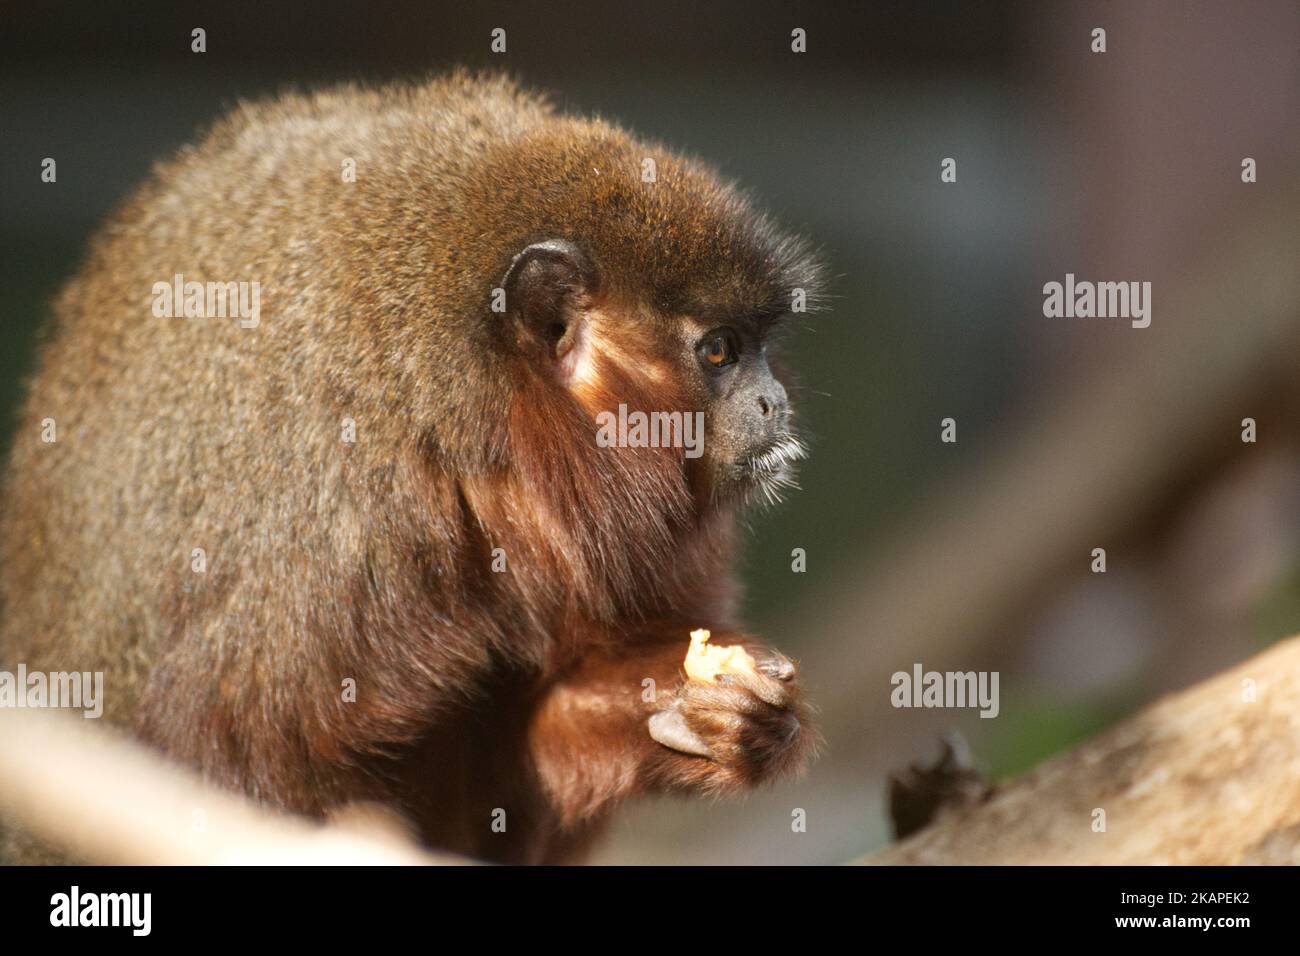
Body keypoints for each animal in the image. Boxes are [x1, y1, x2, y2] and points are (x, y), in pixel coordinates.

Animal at [0, 70, 823, 864]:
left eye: (760, 347)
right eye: (718, 351)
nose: (775, 400)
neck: (474, 426)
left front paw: (713, 712)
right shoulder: (333, 518)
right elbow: (221, 764)